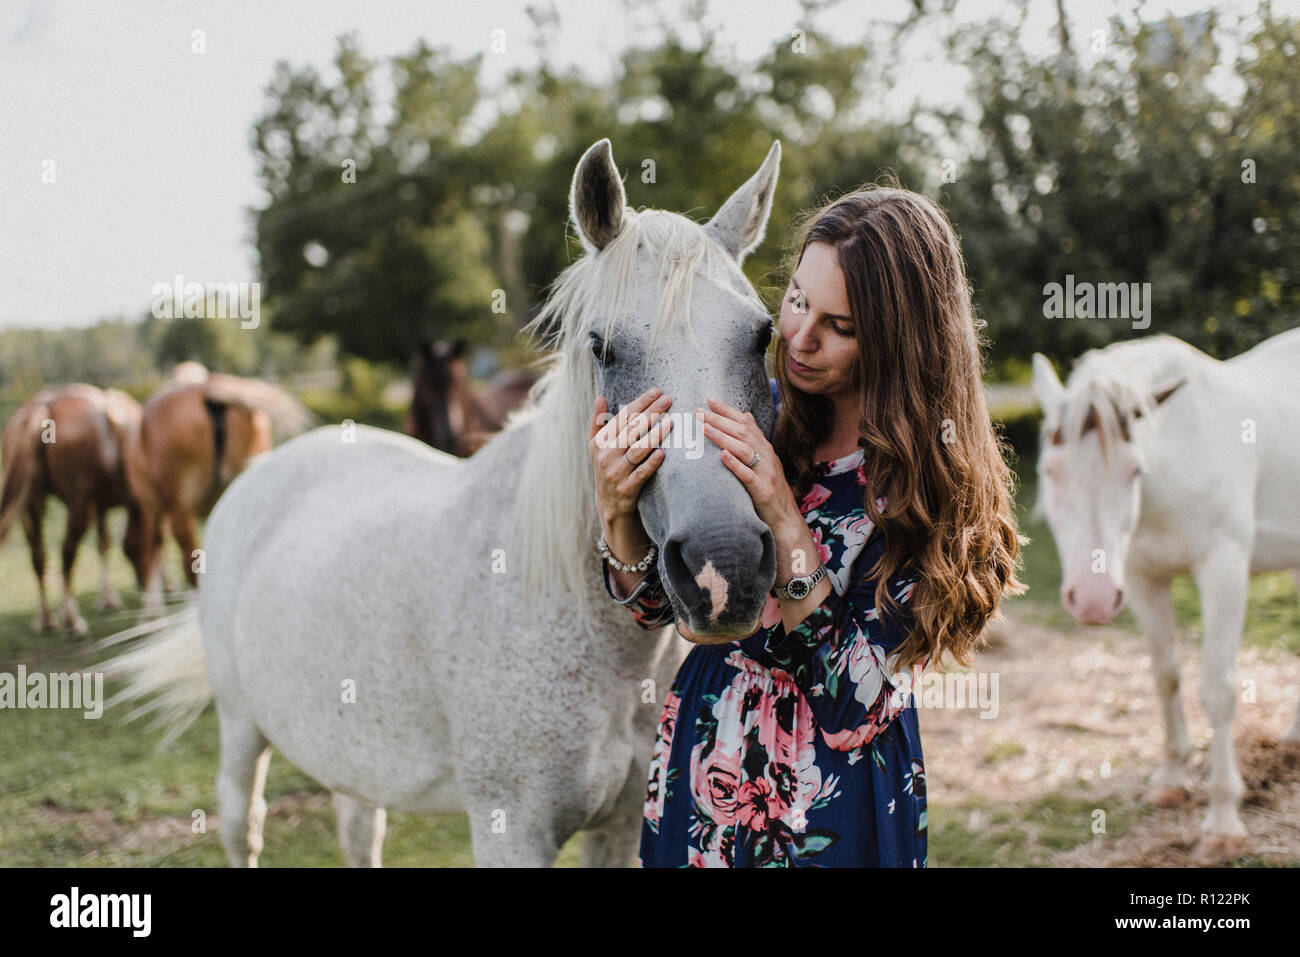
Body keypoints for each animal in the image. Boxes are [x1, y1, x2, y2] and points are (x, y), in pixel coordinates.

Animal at [0, 384, 144, 634]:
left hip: (32, 504)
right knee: (67, 553)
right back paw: (71, 620)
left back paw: (46, 619)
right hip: (79, 505)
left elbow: (104, 544)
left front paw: (107, 598)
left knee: (38, 557)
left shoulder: (101, 506)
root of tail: (41, 408)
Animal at [124, 367, 311, 617]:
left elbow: (154, 552)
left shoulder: (151, 508)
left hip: (181, 513)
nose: (136, 582)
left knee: (191, 567)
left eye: (129, 552)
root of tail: (209, 393)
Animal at [1030, 329, 1300, 858]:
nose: (1092, 598)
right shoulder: (1141, 579)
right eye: (1051, 471)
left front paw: (1222, 821)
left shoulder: (1224, 569)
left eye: (1135, 470)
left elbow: (1216, 689)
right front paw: (1172, 780)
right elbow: (1165, 675)